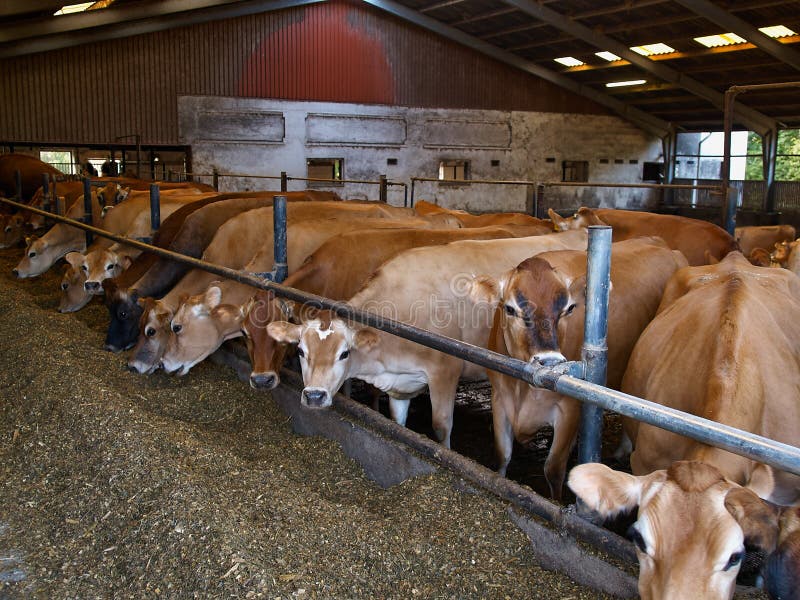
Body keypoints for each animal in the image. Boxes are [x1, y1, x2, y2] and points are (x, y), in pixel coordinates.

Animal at [266, 229, 588, 447]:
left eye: (344, 353)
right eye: (301, 351)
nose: (314, 395)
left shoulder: (445, 370)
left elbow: (441, 427)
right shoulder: (399, 384)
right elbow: (398, 421)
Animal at [468, 237, 686, 499]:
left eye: (569, 309)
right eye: (509, 309)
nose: (550, 361)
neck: (523, 390)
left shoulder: (569, 407)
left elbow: (553, 469)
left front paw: (557, 501)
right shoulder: (499, 397)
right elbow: (502, 455)